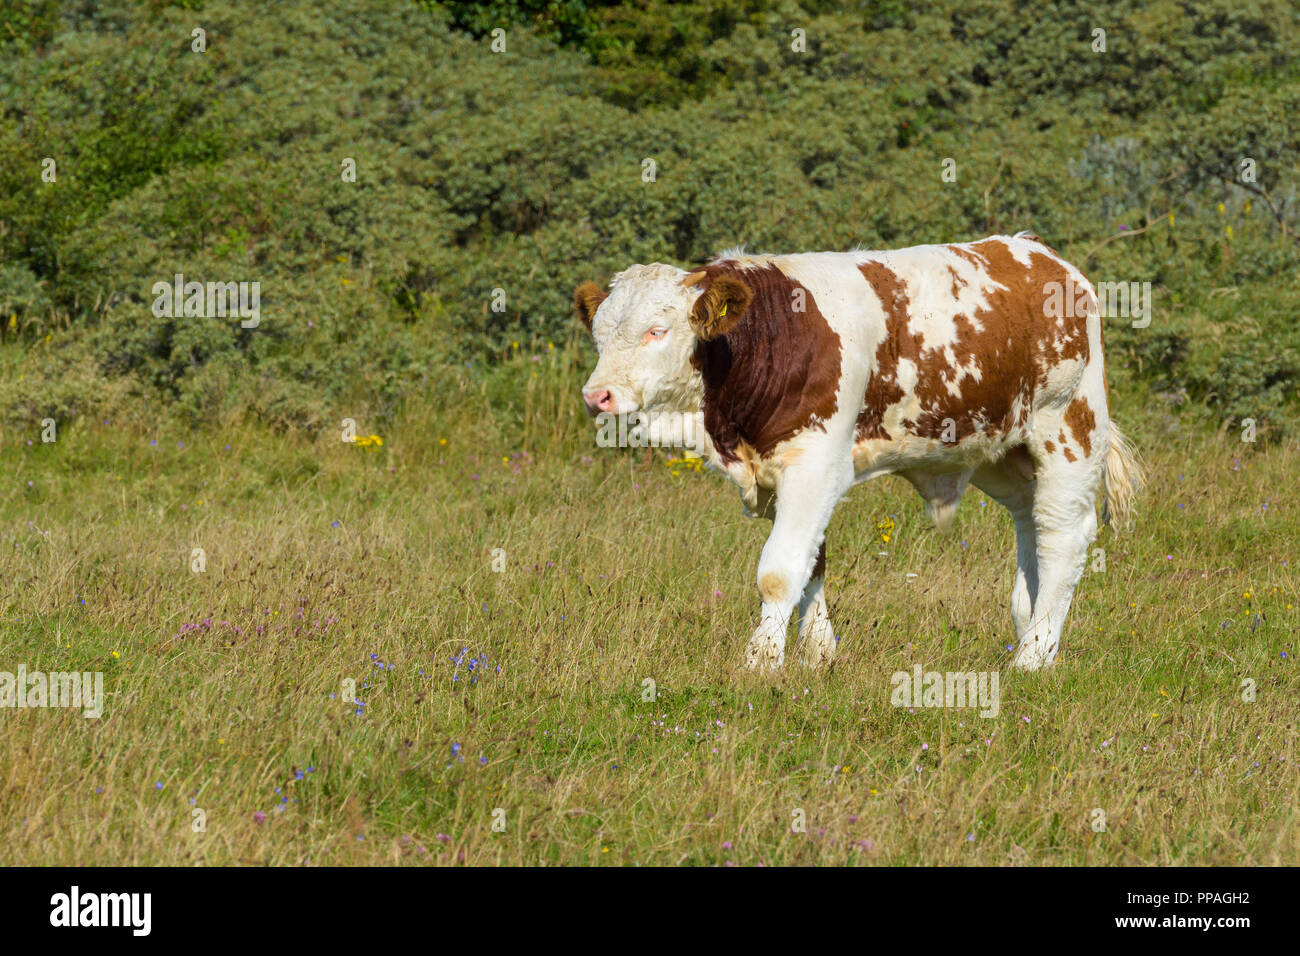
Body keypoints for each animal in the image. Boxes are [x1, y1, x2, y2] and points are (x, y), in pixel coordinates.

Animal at [574, 233, 1143, 672]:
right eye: (598, 335)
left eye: (657, 330)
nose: (597, 395)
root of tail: (1036, 250)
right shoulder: (786, 473)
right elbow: (813, 562)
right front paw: (819, 653)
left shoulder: (815, 462)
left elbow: (780, 569)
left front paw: (761, 662)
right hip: (1001, 448)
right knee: (1033, 524)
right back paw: (1028, 628)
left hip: (1068, 424)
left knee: (1064, 535)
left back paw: (1032, 657)